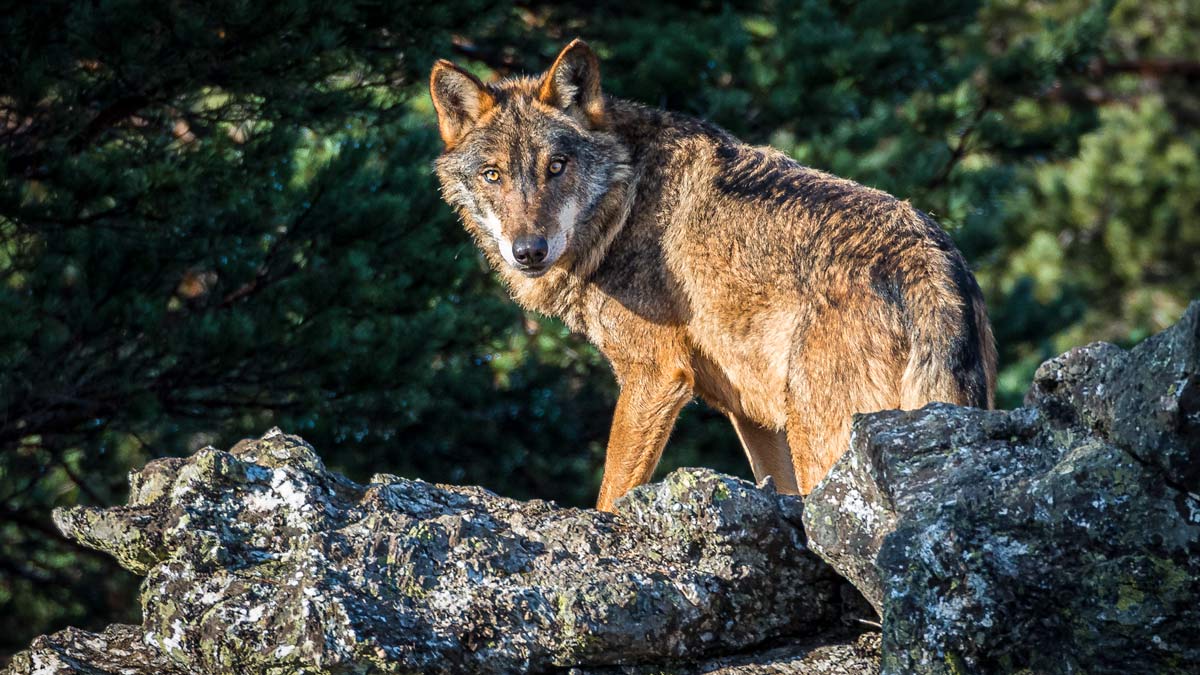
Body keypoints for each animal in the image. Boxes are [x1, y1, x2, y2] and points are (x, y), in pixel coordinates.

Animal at [430, 39, 997, 511]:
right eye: (493, 175)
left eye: (557, 166)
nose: (528, 251)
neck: (626, 201)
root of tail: (933, 265)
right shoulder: (749, 413)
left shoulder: (656, 375)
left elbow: (610, 497)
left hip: (827, 441)